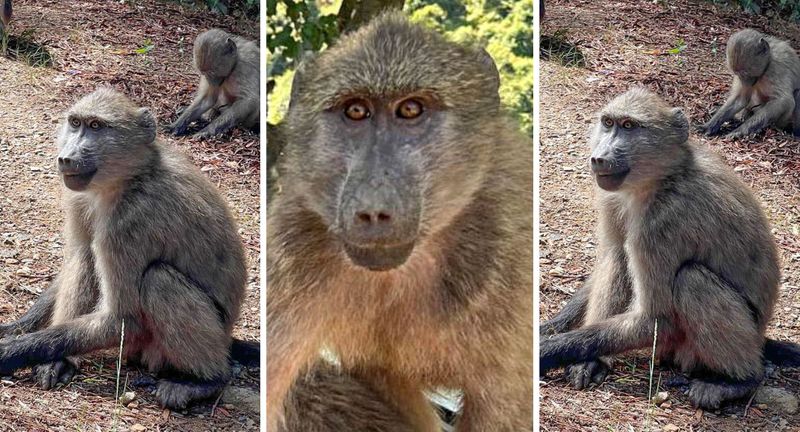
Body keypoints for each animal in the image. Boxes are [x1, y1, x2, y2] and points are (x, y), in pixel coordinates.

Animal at [0, 88, 256, 409]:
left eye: (96, 126)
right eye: (75, 123)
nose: (67, 158)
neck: (130, 178)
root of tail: (227, 337)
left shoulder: (130, 222)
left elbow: (124, 318)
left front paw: (9, 352)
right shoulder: (80, 198)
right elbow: (76, 257)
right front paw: (16, 328)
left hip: (157, 348)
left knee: (158, 279)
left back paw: (204, 381)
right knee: (86, 256)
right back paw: (59, 361)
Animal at [537, 87, 800, 410]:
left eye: (629, 126)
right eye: (608, 123)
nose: (599, 158)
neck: (662, 178)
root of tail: (759, 337)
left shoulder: (663, 223)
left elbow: (656, 318)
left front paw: (545, 351)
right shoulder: (613, 198)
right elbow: (611, 258)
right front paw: (551, 328)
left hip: (690, 348)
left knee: (692, 279)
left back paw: (738, 381)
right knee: (619, 257)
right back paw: (592, 361)